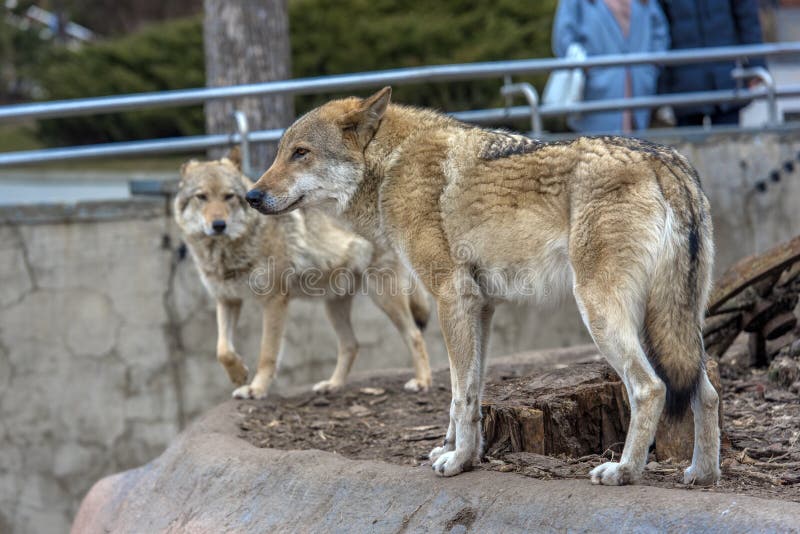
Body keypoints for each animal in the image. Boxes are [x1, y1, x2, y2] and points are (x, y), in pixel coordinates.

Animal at [174, 149, 433, 400]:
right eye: (201, 197)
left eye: (229, 196)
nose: (219, 225)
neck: (227, 253)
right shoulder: (227, 300)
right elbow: (223, 350)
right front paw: (238, 375)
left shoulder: (274, 301)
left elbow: (267, 353)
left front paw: (256, 389)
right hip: (334, 305)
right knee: (351, 345)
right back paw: (332, 385)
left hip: (384, 297)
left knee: (414, 335)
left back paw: (422, 381)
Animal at [246, 87, 720, 486]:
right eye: (280, 153)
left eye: (301, 153)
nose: (251, 196)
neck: (391, 165)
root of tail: (667, 159)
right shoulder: (482, 308)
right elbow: (469, 394)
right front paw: (459, 453)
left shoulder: (451, 298)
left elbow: (459, 395)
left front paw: (457, 461)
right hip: (674, 326)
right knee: (707, 392)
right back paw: (703, 473)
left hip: (602, 314)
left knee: (651, 388)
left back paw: (624, 471)